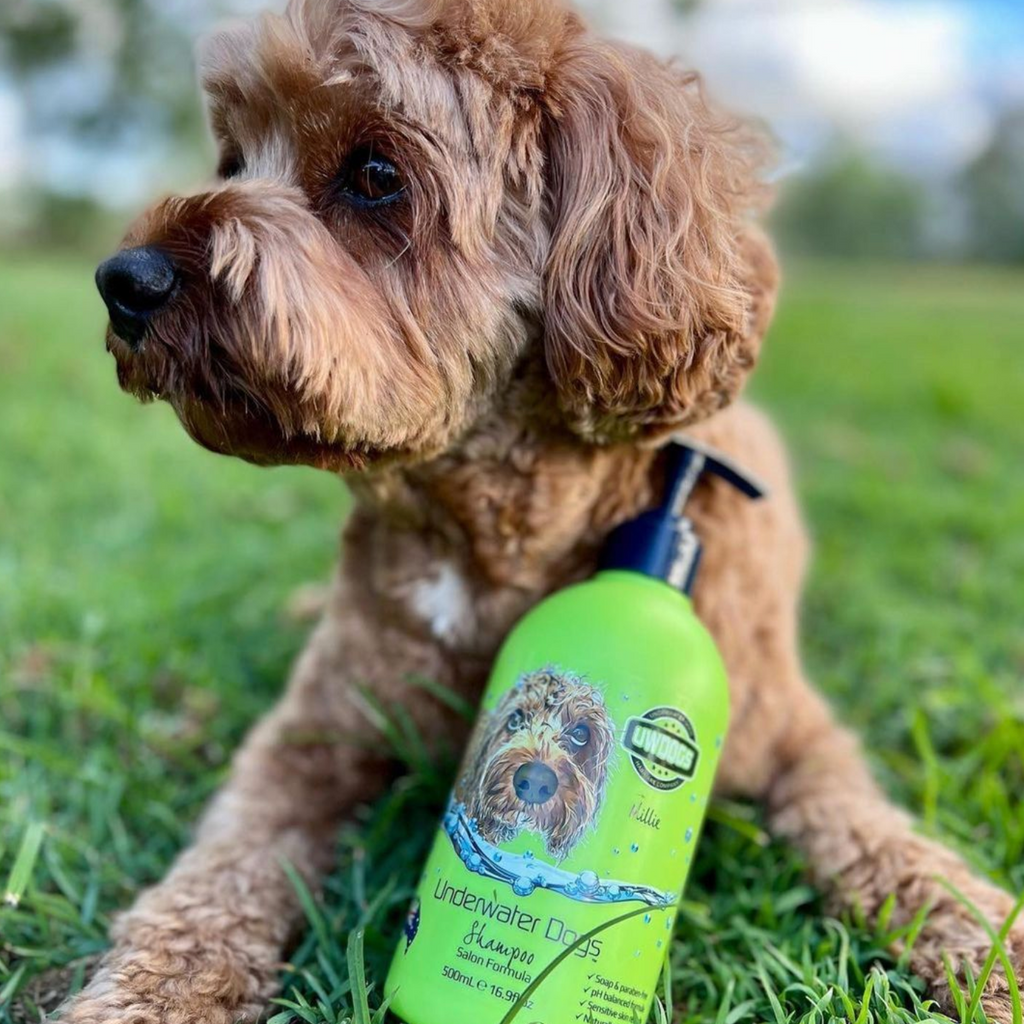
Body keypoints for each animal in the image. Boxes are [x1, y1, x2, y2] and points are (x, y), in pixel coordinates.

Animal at [75, 2, 1019, 1024]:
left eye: (377, 175)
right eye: (234, 159)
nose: (124, 280)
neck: (495, 542)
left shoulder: (794, 735)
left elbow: (884, 844)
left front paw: (987, 945)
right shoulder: (311, 736)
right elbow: (224, 866)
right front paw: (146, 988)